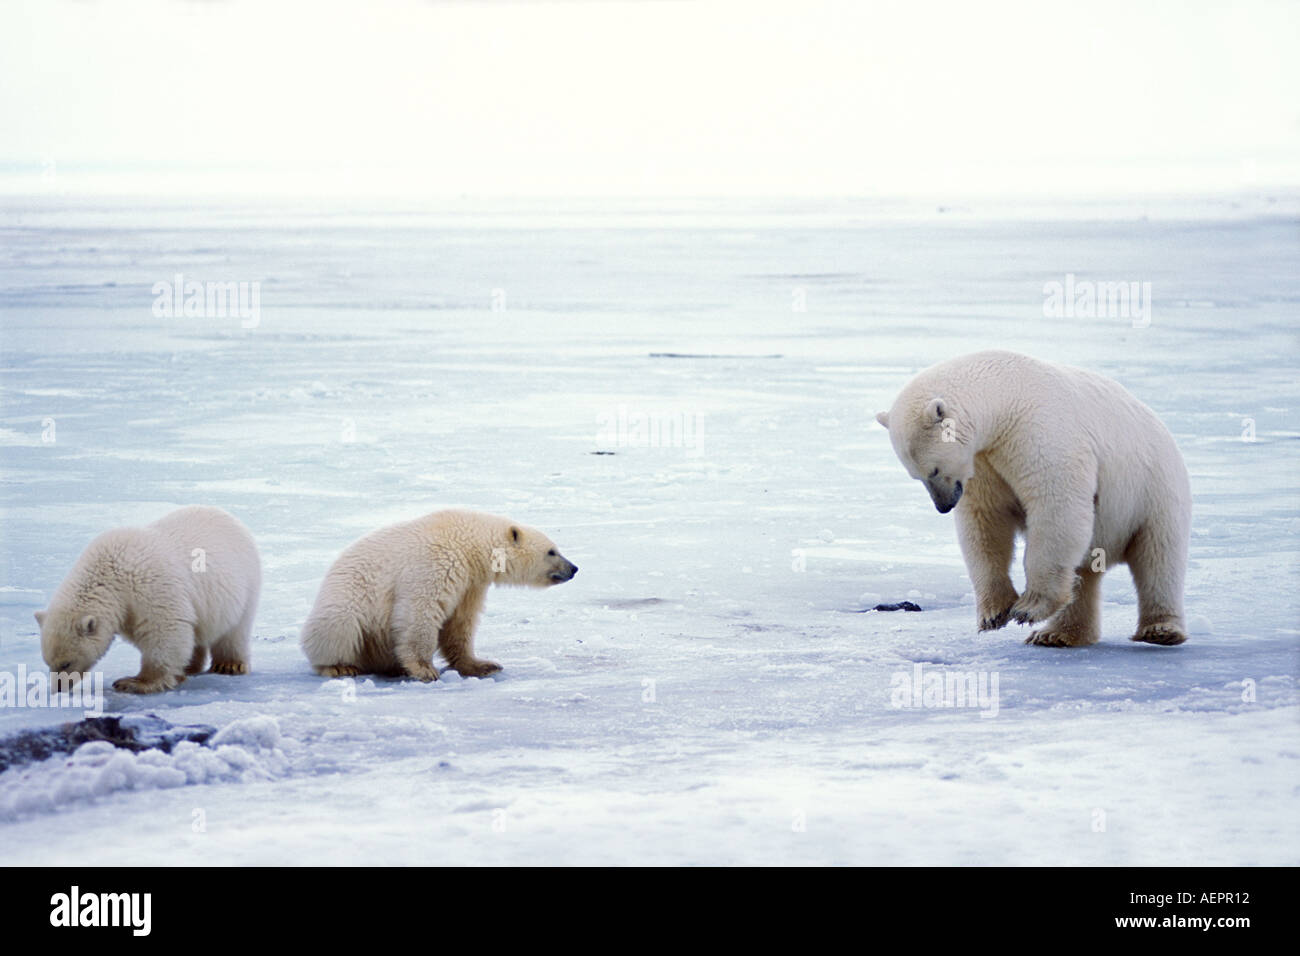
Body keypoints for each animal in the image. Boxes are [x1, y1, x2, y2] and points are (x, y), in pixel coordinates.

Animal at [36, 506, 262, 693]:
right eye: (48, 663)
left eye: (66, 663)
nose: (57, 688)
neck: (110, 571)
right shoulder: (127, 609)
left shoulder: (149, 586)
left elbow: (164, 630)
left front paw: (133, 682)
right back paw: (190, 666)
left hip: (242, 583)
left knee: (234, 629)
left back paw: (229, 665)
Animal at [299, 510, 578, 681]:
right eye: (552, 551)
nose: (574, 568)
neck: (468, 543)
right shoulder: (435, 563)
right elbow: (420, 612)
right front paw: (425, 670)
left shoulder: (470, 582)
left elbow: (460, 623)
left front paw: (484, 665)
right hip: (346, 602)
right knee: (338, 627)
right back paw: (339, 666)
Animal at [875, 350, 1191, 647]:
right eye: (915, 475)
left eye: (934, 470)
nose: (944, 506)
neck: (1005, 396)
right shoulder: (983, 460)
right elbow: (986, 521)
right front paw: (994, 613)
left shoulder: (1037, 430)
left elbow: (1055, 505)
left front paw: (1027, 608)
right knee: (1083, 571)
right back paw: (1056, 635)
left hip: (1154, 489)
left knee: (1158, 557)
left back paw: (1161, 630)